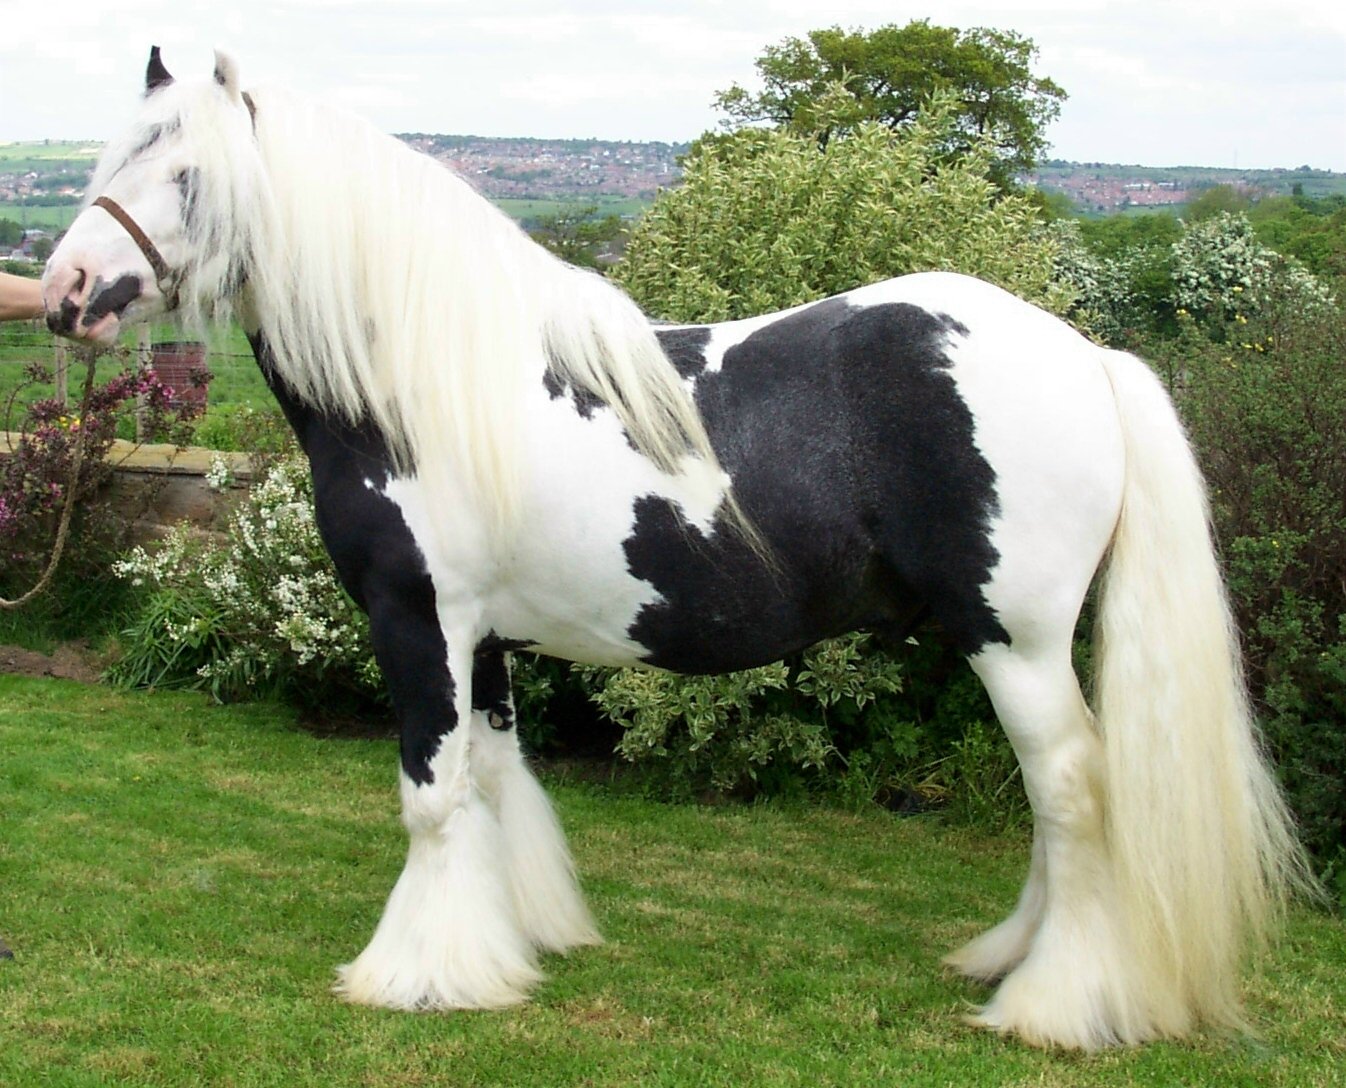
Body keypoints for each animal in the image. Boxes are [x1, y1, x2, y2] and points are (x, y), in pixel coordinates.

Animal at [42, 48, 1305, 1050]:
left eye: (186, 171)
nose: (63, 291)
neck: (423, 379)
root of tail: (1085, 356)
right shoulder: (481, 636)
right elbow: (496, 780)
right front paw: (514, 941)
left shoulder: (415, 619)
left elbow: (433, 797)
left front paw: (418, 976)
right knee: (1055, 805)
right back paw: (1008, 958)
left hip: (1019, 638)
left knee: (1073, 792)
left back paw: (1056, 1005)